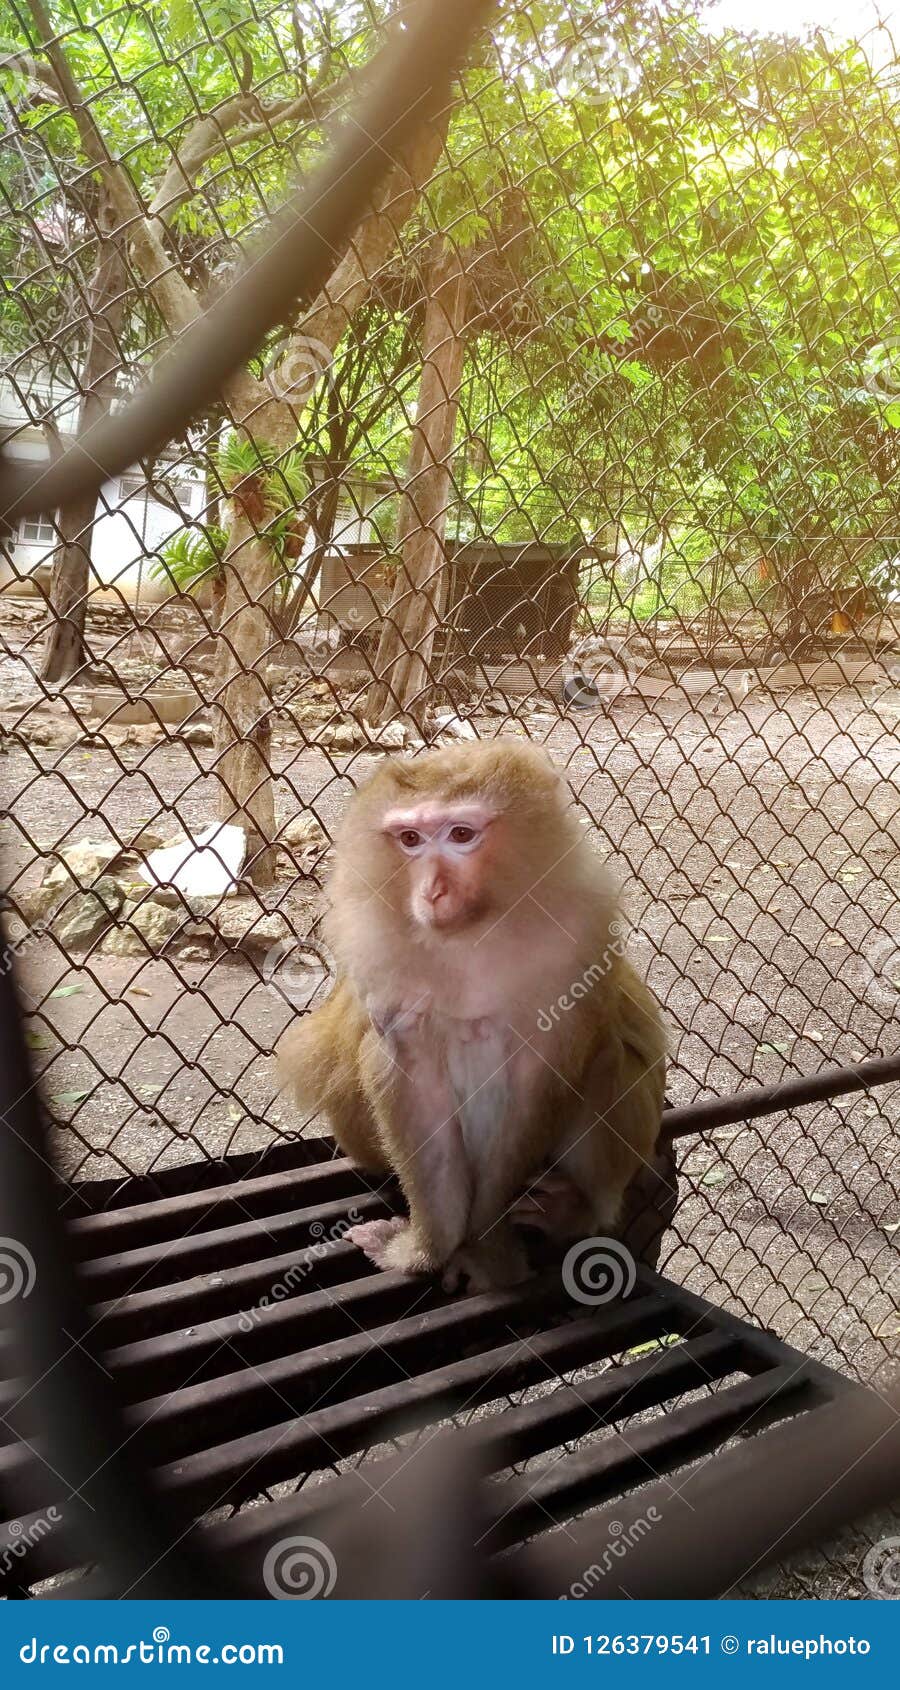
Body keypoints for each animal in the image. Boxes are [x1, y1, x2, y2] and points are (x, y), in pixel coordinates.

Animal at [278, 738, 666, 1292]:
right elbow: (407, 1071)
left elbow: (537, 1075)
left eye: (461, 834)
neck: (474, 935)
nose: (431, 892)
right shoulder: (378, 955)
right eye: (410, 839)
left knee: (612, 1055)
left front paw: (486, 1252)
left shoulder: (578, 933)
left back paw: (577, 1211)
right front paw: (425, 1251)